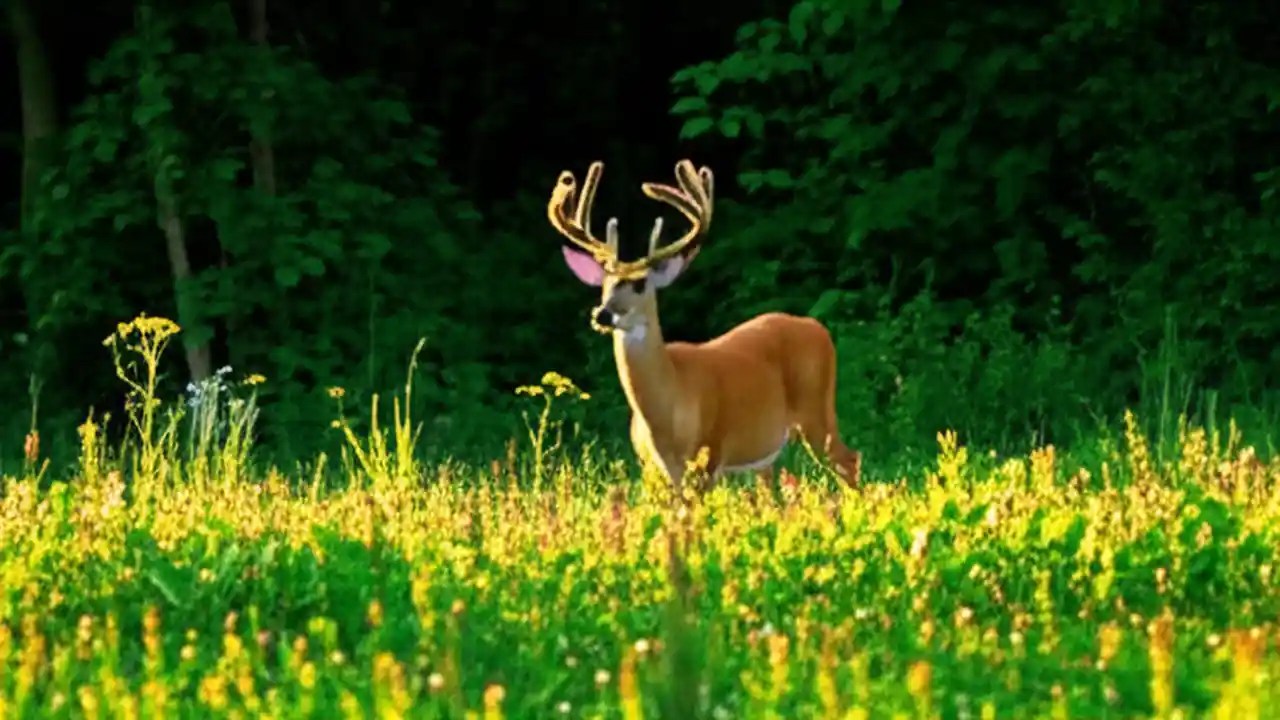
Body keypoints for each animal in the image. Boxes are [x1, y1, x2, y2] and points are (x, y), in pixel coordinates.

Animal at [546, 158, 863, 495]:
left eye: (641, 284)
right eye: (604, 284)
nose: (602, 314)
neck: (667, 414)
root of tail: (817, 327)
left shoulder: (709, 457)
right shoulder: (651, 468)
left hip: (817, 410)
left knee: (849, 460)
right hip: (768, 448)